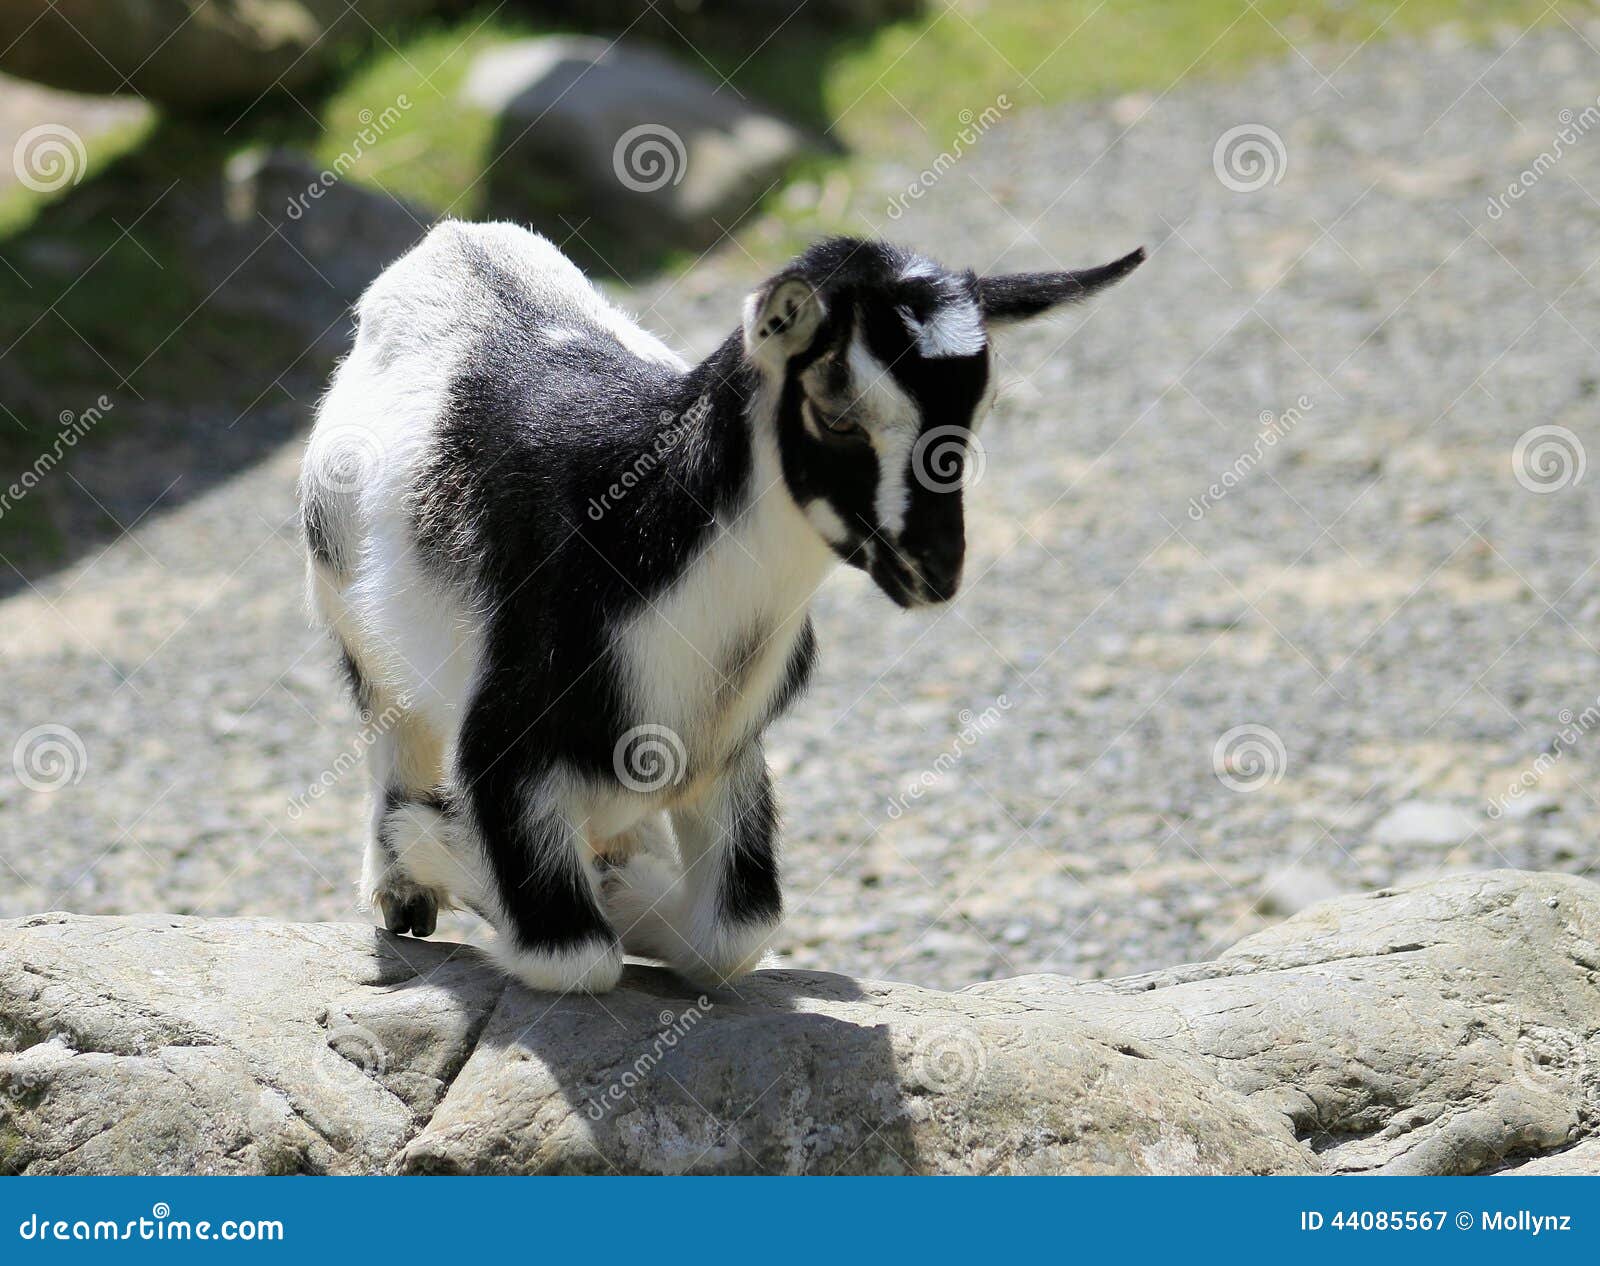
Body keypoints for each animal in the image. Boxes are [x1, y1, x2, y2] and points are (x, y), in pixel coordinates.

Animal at [299, 221, 1142, 993]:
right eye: (839, 416)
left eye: (976, 416)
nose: (935, 570)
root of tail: (457, 239)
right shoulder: (505, 743)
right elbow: (576, 956)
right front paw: (433, 842)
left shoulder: (727, 747)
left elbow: (734, 938)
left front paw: (627, 885)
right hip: (347, 609)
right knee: (391, 724)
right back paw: (402, 884)